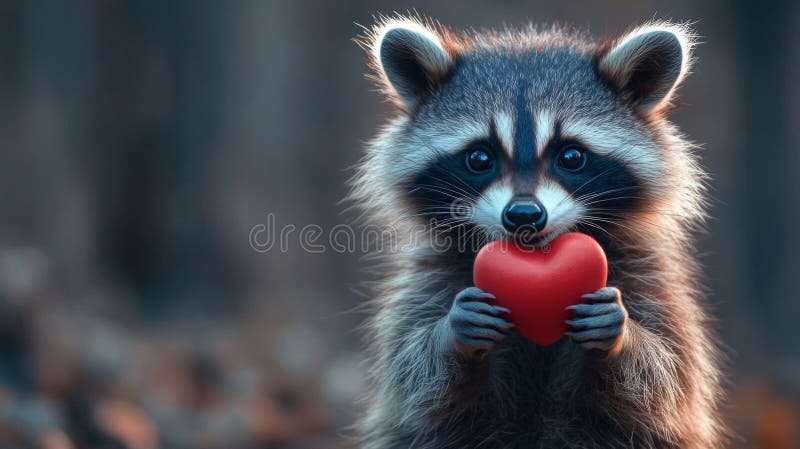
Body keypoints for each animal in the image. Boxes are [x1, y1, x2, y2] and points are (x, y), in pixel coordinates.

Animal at [350, 15, 725, 449]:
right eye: (480, 158)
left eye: (572, 156)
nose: (524, 214)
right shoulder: (430, 278)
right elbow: (416, 380)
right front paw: (452, 334)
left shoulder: (649, 278)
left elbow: (668, 378)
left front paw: (621, 337)